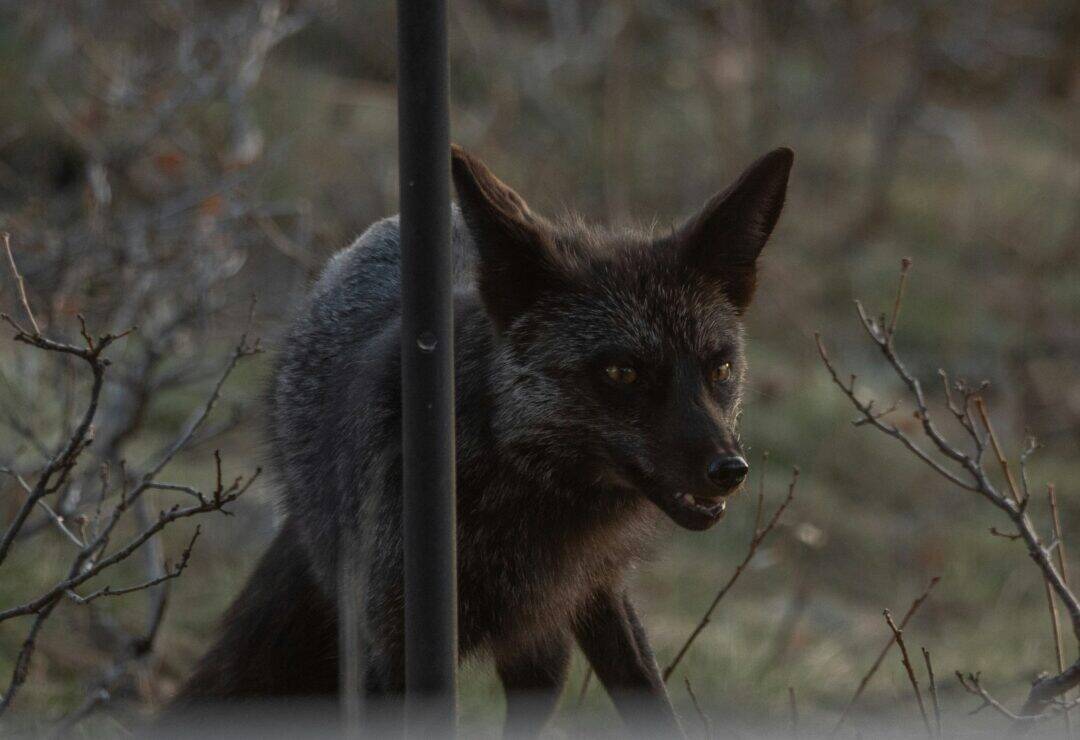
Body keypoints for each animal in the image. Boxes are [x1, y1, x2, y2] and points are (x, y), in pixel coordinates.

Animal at [171, 145, 793, 737]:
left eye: (720, 369)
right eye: (623, 373)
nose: (730, 470)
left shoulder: (588, 599)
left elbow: (651, 697)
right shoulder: (395, 651)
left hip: (550, 649)